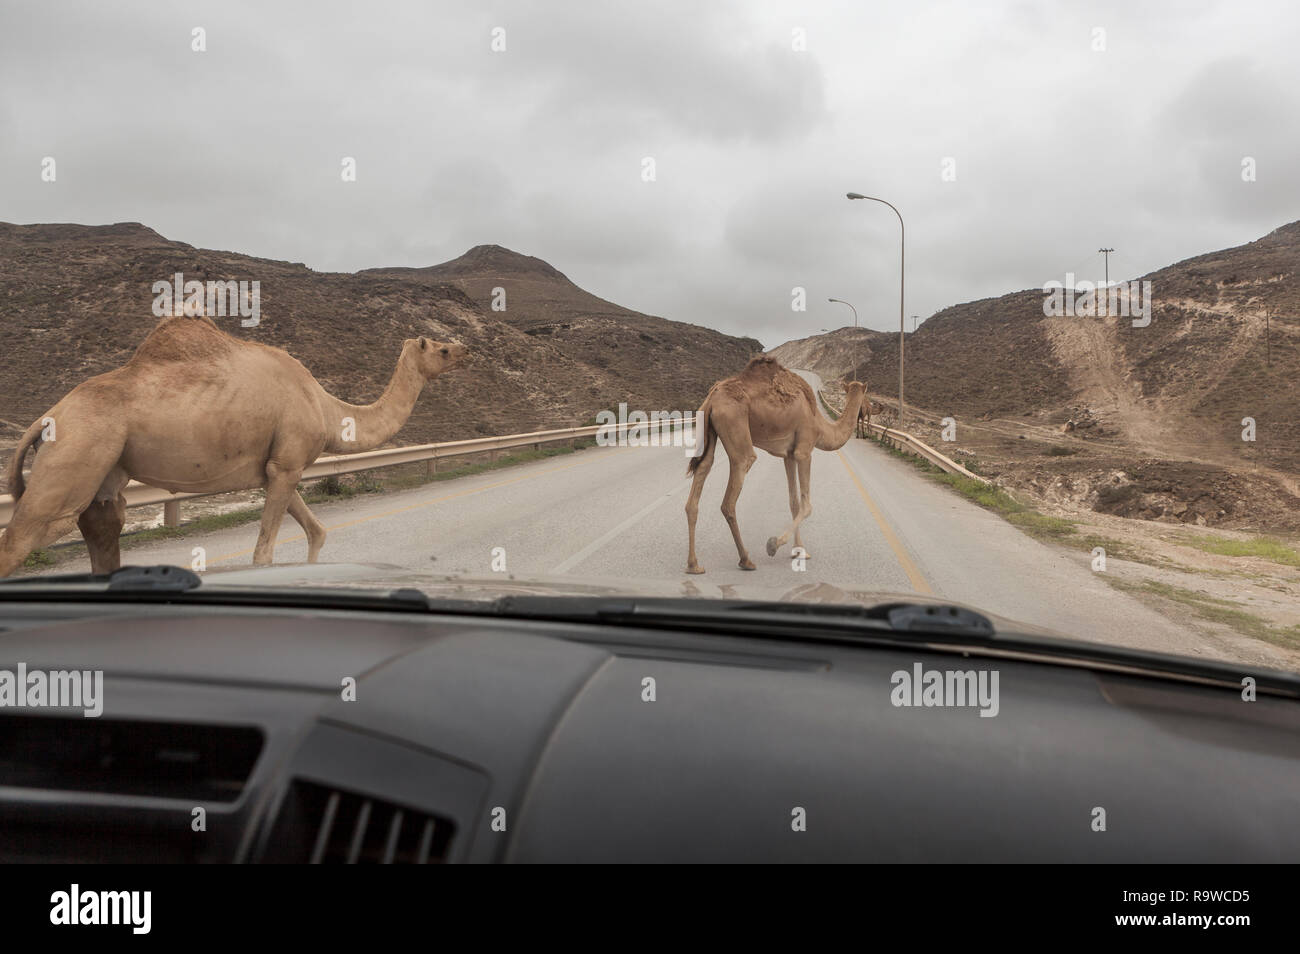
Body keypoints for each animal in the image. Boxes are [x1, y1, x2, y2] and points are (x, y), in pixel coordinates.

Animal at [0, 314, 467, 577]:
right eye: (441, 348)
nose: (466, 348)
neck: (325, 406)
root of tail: (48, 417)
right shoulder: (287, 464)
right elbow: (264, 553)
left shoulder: (275, 468)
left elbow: (316, 531)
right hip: (76, 450)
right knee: (22, 538)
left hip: (104, 476)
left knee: (103, 532)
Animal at [685, 355, 866, 574]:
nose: (866, 410)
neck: (820, 425)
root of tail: (712, 399)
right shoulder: (804, 450)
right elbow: (807, 505)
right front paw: (774, 545)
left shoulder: (788, 455)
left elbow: (794, 503)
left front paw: (800, 550)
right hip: (736, 428)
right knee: (731, 495)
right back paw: (746, 560)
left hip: (708, 431)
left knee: (702, 474)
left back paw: (693, 565)